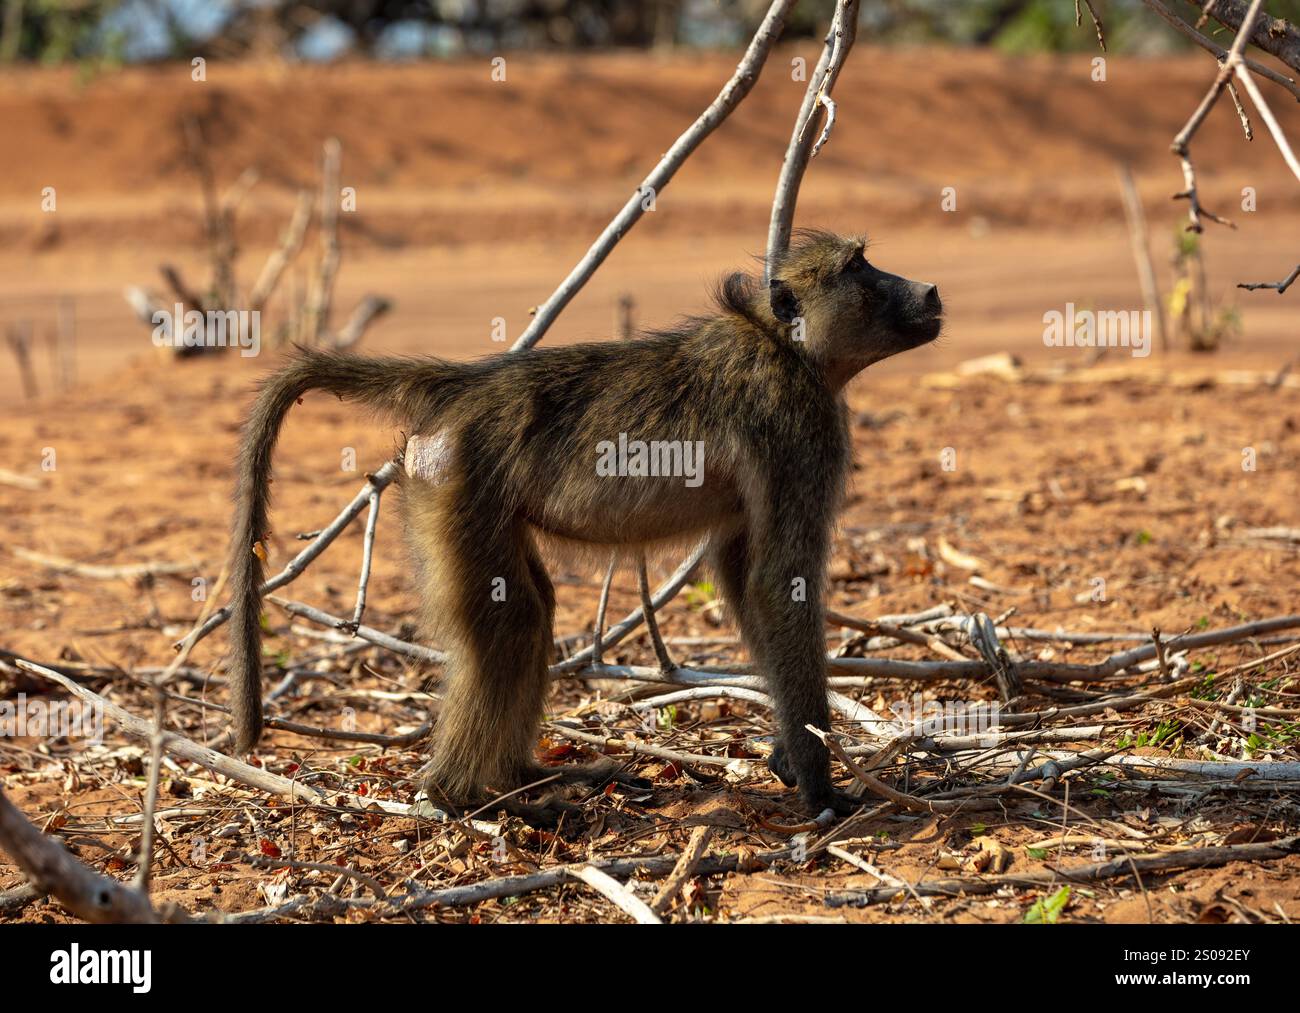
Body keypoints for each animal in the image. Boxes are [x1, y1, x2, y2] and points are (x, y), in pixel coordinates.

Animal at [226, 230, 942, 819]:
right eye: (858, 267)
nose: (931, 290)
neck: (782, 346)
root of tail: (464, 386)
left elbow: (747, 584)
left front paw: (789, 759)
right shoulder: (800, 430)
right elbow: (780, 586)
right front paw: (824, 789)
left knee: (529, 610)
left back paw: (522, 777)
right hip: (459, 483)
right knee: (512, 622)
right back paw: (469, 798)